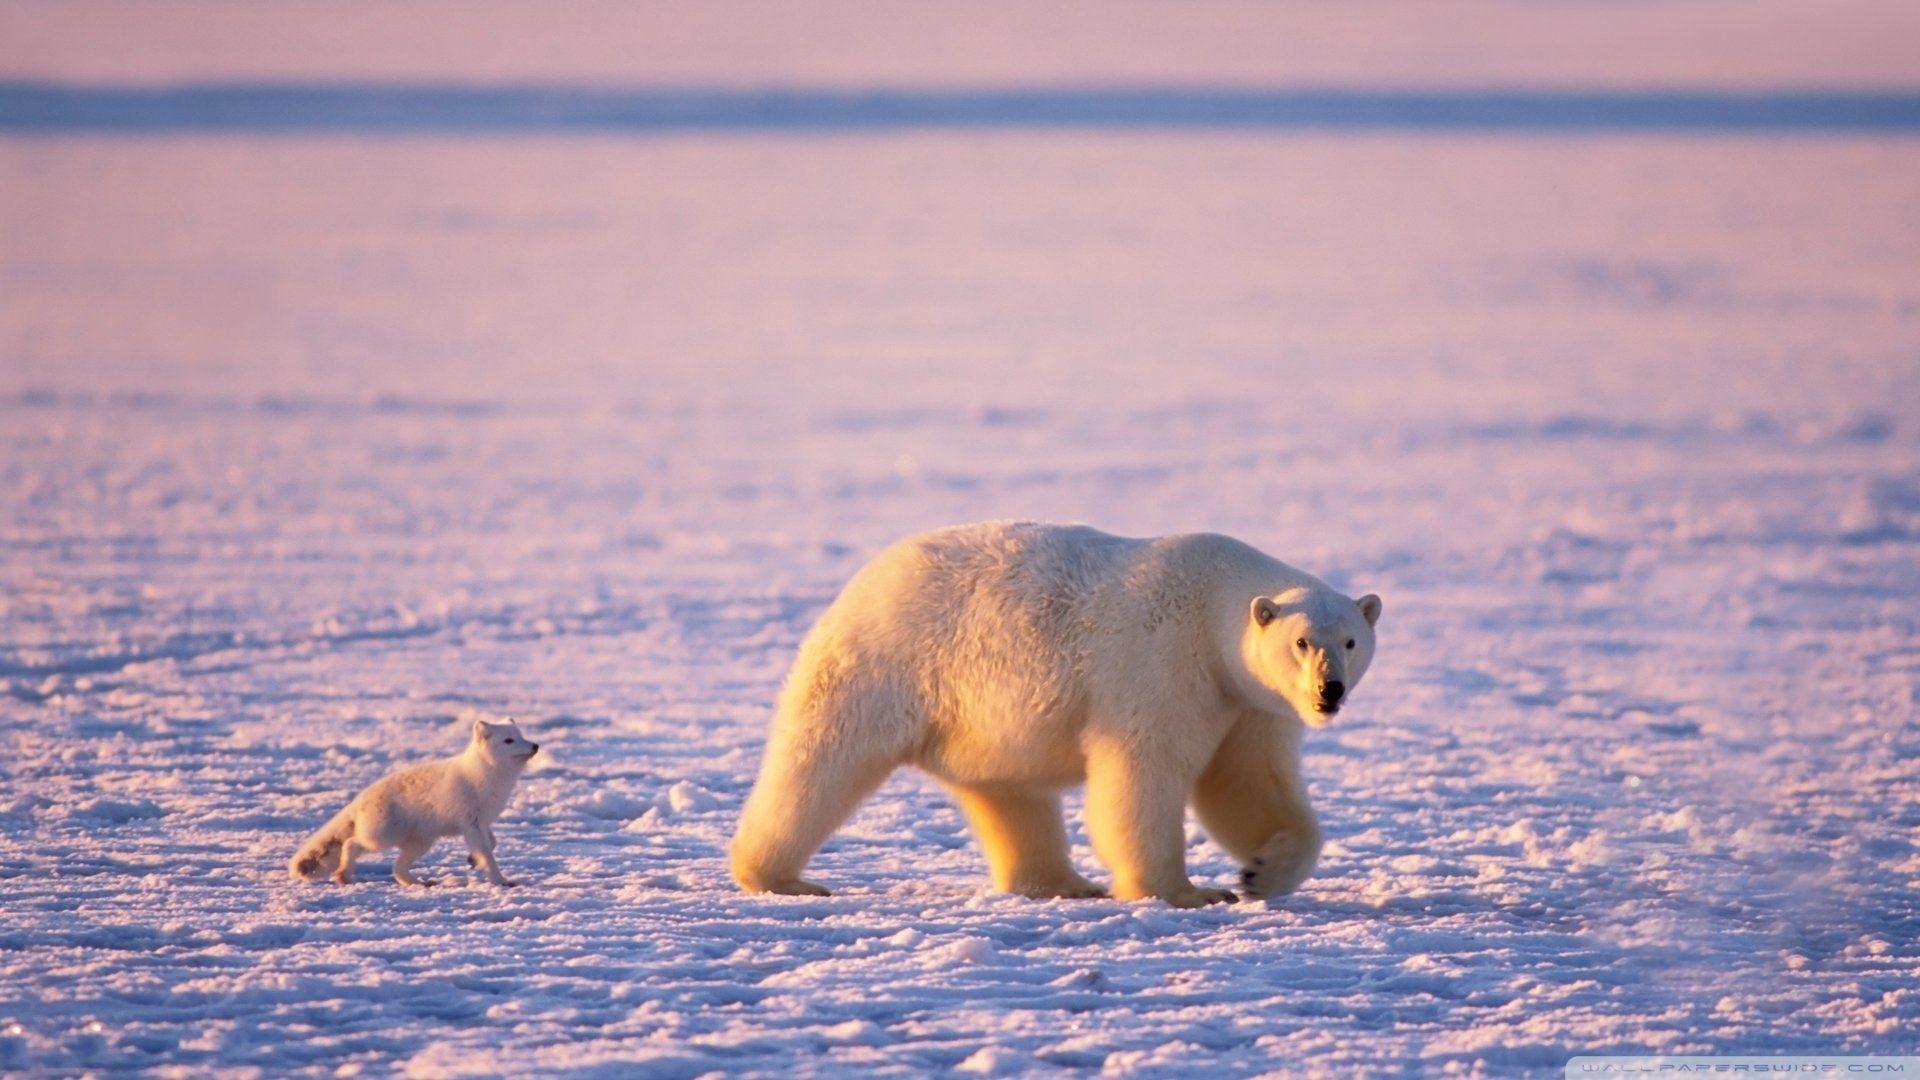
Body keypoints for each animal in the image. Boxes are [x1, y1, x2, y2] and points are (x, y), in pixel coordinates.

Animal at [289, 718, 539, 888]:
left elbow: (492, 843)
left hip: (420, 843)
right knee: (351, 843)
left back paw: (419, 883)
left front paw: (472, 860)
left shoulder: (482, 822)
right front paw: (500, 880)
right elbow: (487, 853)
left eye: (522, 735)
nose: (535, 745)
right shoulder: (471, 823)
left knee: (397, 868)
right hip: (382, 837)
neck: (485, 776)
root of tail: (360, 799)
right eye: (509, 740)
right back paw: (343, 874)